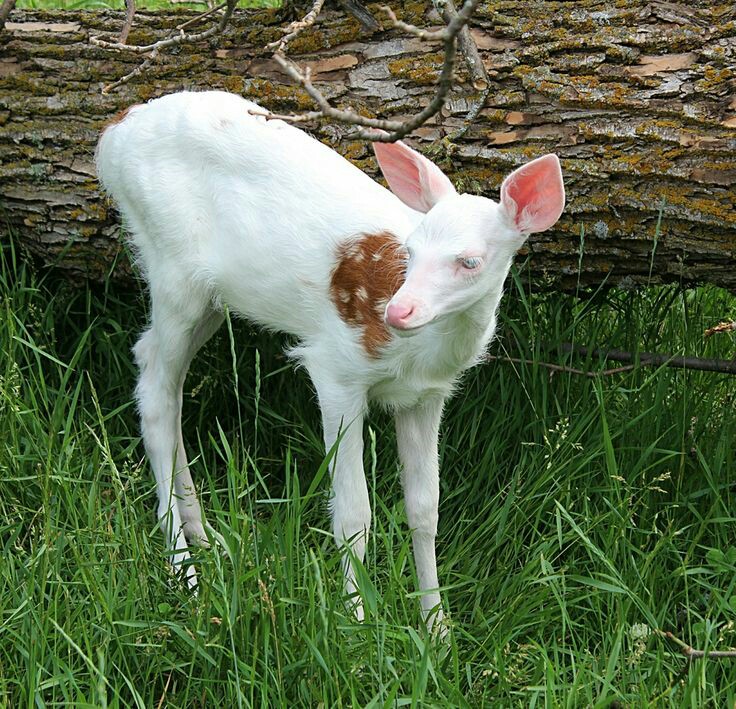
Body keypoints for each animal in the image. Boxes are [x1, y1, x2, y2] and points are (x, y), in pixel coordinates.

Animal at [95, 90, 565, 631]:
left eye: (469, 262)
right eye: (411, 250)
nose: (399, 311)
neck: (417, 350)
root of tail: (115, 131)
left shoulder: (426, 395)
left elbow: (425, 509)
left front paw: (437, 627)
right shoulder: (336, 369)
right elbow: (354, 511)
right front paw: (355, 619)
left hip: (208, 297)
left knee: (160, 375)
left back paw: (203, 535)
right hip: (172, 266)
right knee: (155, 390)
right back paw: (182, 570)